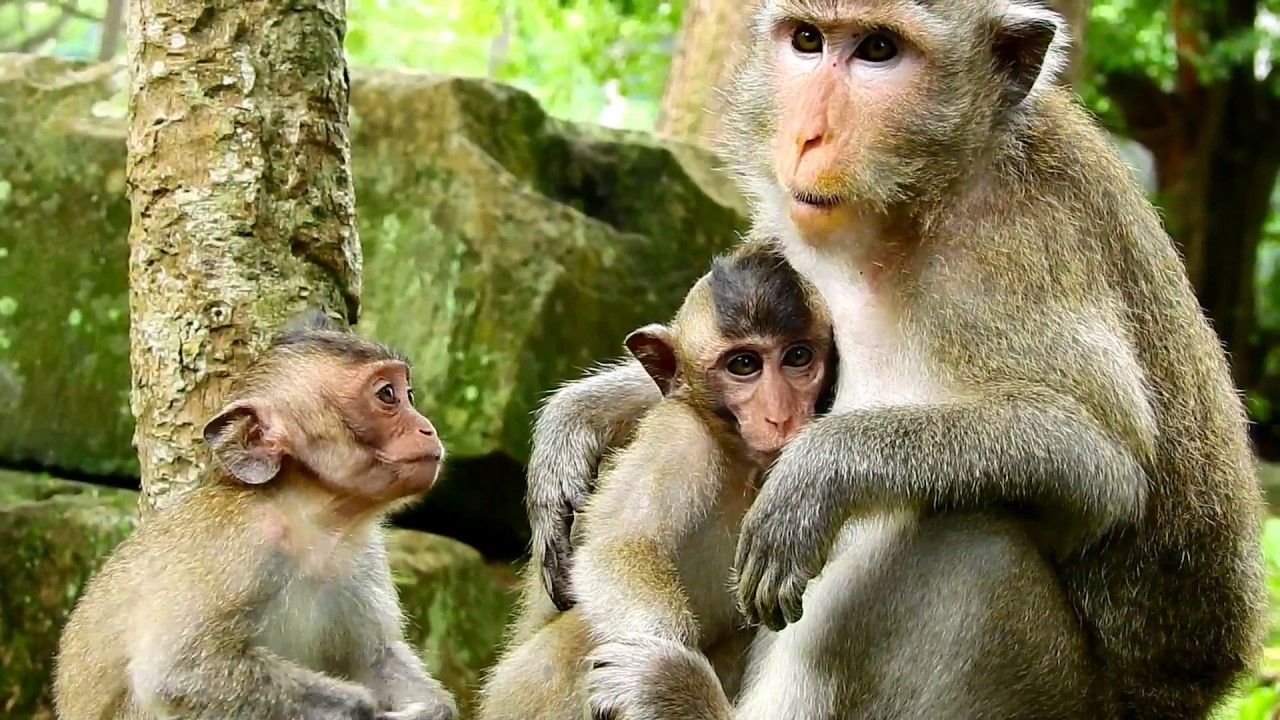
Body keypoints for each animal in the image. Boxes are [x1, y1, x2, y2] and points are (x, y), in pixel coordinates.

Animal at [53, 311, 459, 720]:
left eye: (409, 395)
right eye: (387, 395)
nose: (428, 428)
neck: (311, 522)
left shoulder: (363, 552)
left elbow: (373, 656)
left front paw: (434, 709)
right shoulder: (236, 542)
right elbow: (178, 671)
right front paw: (360, 710)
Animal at [477, 241, 836, 720]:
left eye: (797, 356)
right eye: (744, 365)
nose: (780, 416)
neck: (746, 463)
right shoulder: (679, 439)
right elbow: (620, 549)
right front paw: (666, 679)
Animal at [523, 1, 1268, 718]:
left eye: (879, 49)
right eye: (808, 39)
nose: (807, 137)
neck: (921, 206)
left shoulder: (1017, 254)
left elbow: (1100, 465)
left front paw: (818, 470)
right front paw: (577, 421)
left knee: (967, 534)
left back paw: (684, 696)